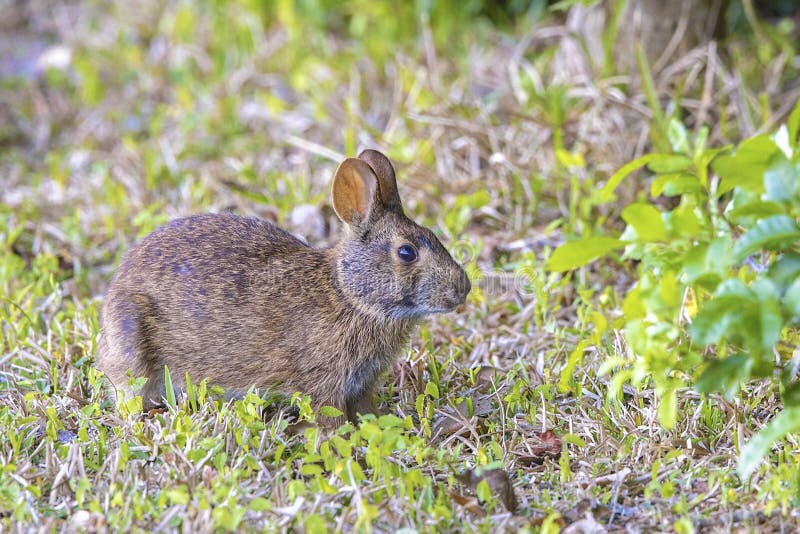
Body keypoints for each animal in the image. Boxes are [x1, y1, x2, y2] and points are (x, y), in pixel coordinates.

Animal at [95, 149, 471, 426]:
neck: (349, 295)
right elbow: (330, 420)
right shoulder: (323, 384)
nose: (463, 288)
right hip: (133, 343)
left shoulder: (361, 384)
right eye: (407, 252)